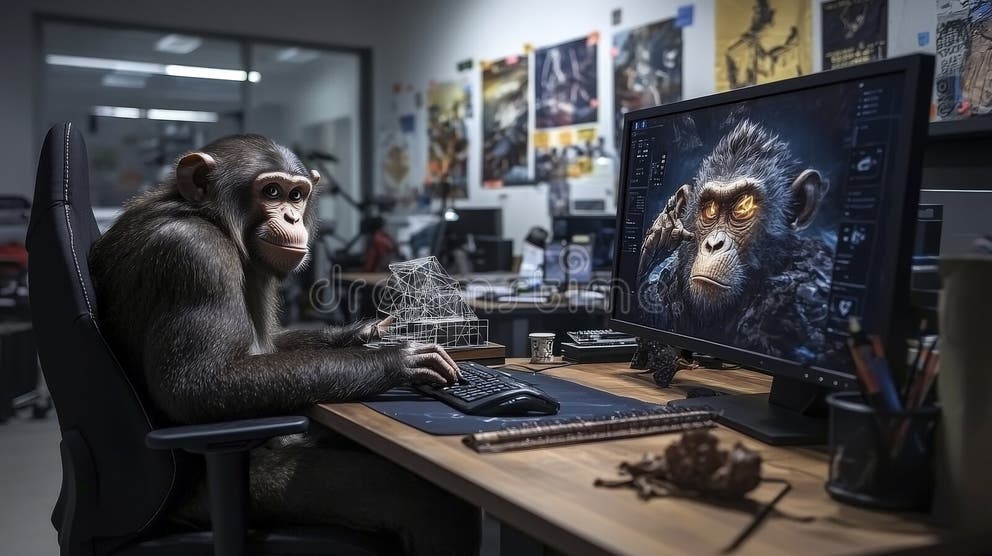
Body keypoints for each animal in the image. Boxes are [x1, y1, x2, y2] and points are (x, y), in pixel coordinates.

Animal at [89, 134, 479, 555]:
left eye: (297, 195)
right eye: (272, 192)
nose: (292, 217)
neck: (211, 220)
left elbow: (273, 345)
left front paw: (370, 333)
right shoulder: (193, 255)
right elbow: (196, 385)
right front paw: (401, 357)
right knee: (420, 505)